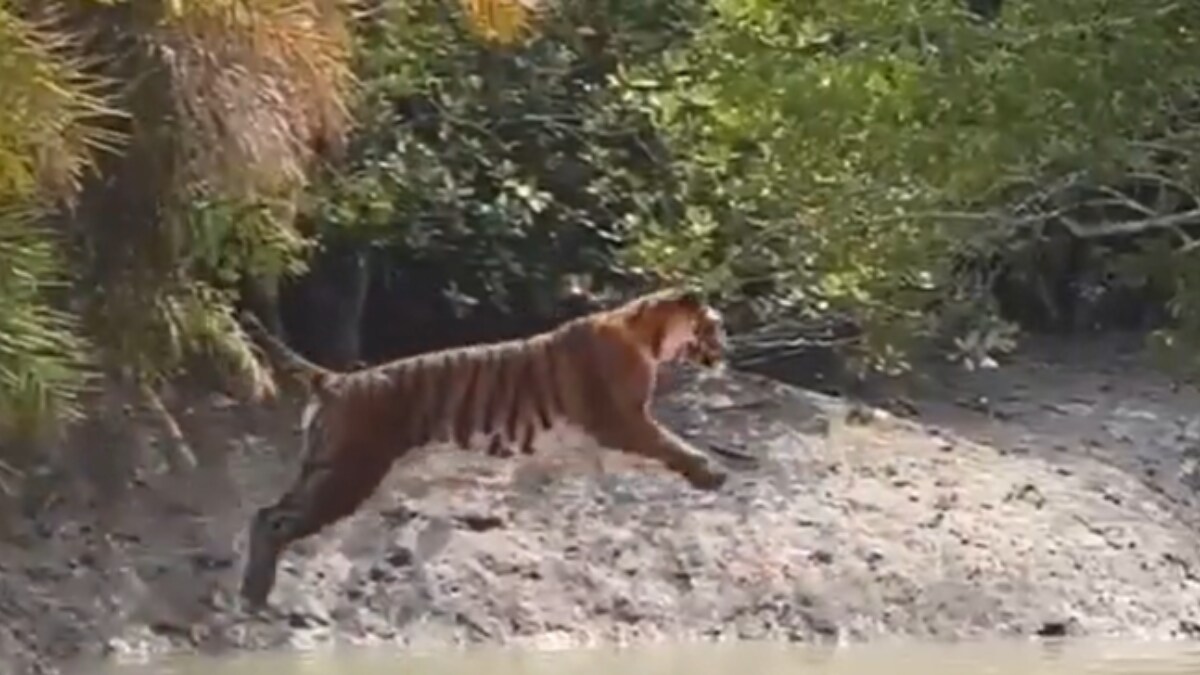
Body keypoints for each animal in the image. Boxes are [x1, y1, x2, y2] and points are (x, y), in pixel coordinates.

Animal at [236, 286, 732, 609]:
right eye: (715, 326)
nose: (726, 348)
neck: (650, 335)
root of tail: (334, 379)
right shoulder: (621, 421)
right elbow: (671, 443)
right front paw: (710, 472)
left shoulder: (600, 438)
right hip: (350, 472)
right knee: (279, 521)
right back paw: (257, 596)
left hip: (322, 466)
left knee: (265, 513)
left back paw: (252, 592)